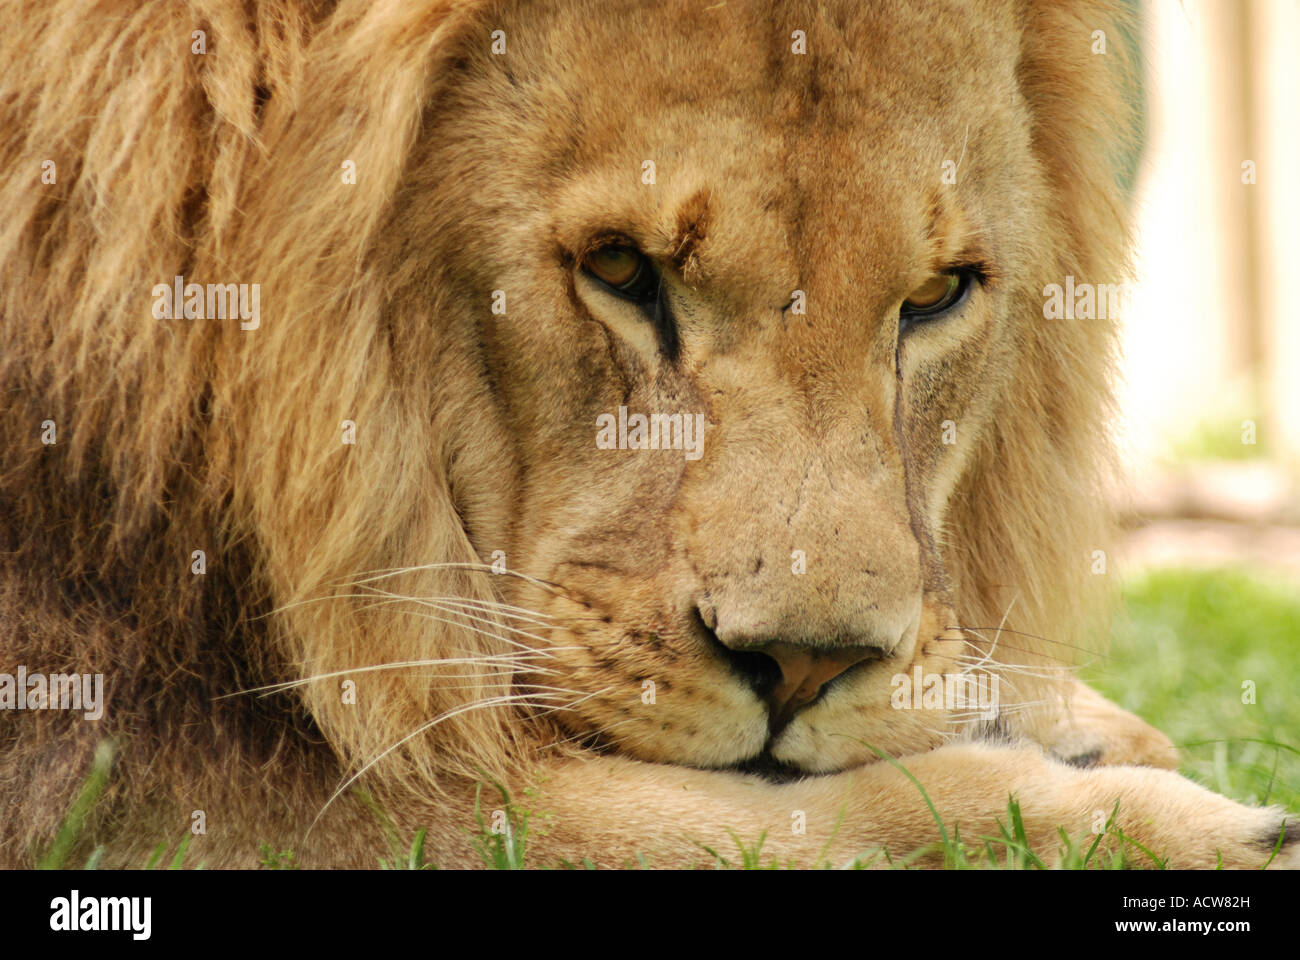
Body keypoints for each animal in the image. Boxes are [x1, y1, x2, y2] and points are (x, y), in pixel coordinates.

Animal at [0, 0, 1293, 870]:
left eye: (935, 296)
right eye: (620, 269)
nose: (806, 667)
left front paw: (1072, 723)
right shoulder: (138, 789)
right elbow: (776, 826)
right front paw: (1163, 820)